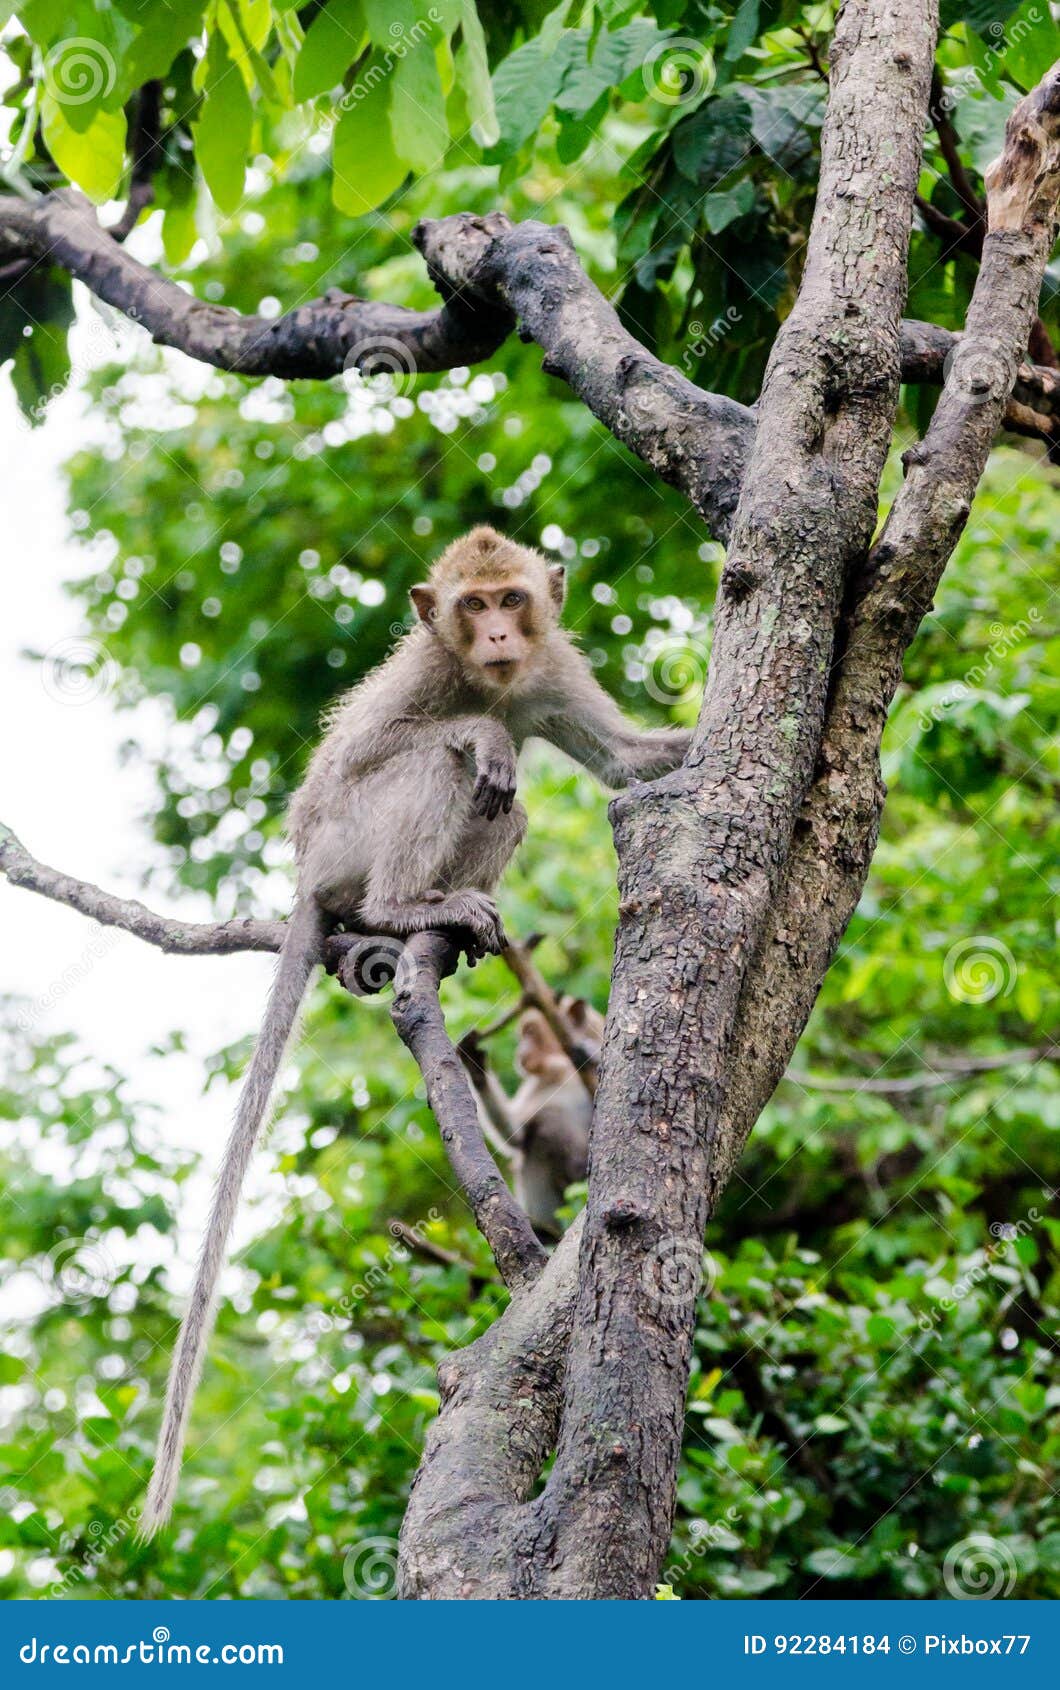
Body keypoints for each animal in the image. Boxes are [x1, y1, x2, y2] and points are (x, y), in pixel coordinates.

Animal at [461, 997, 605, 1240]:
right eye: (523, 1034)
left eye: (530, 1032)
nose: (521, 1048)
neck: (561, 1064)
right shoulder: (538, 1082)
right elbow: (517, 1136)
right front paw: (475, 1065)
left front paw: (592, 1053)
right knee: (541, 1133)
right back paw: (543, 1230)